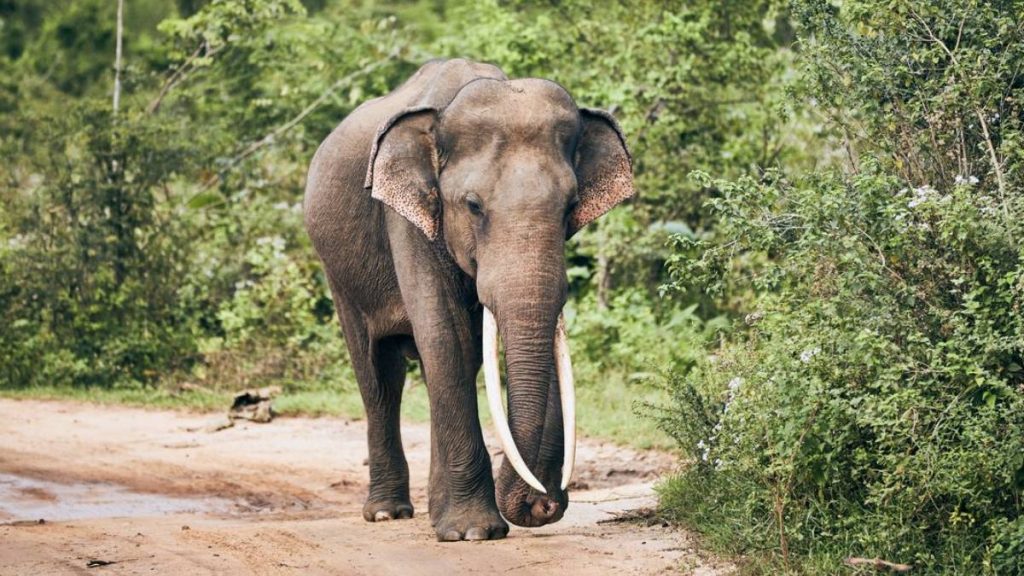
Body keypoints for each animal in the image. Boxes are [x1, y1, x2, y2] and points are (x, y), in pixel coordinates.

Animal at [303, 58, 633, 542]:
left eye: (571, 205)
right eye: (474, 206)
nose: (543, 504)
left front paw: (471, 524)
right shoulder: (408, 220)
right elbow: (446, 335)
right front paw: (473, 533)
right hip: (338, 271)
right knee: (378, 374)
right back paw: (387, 513)